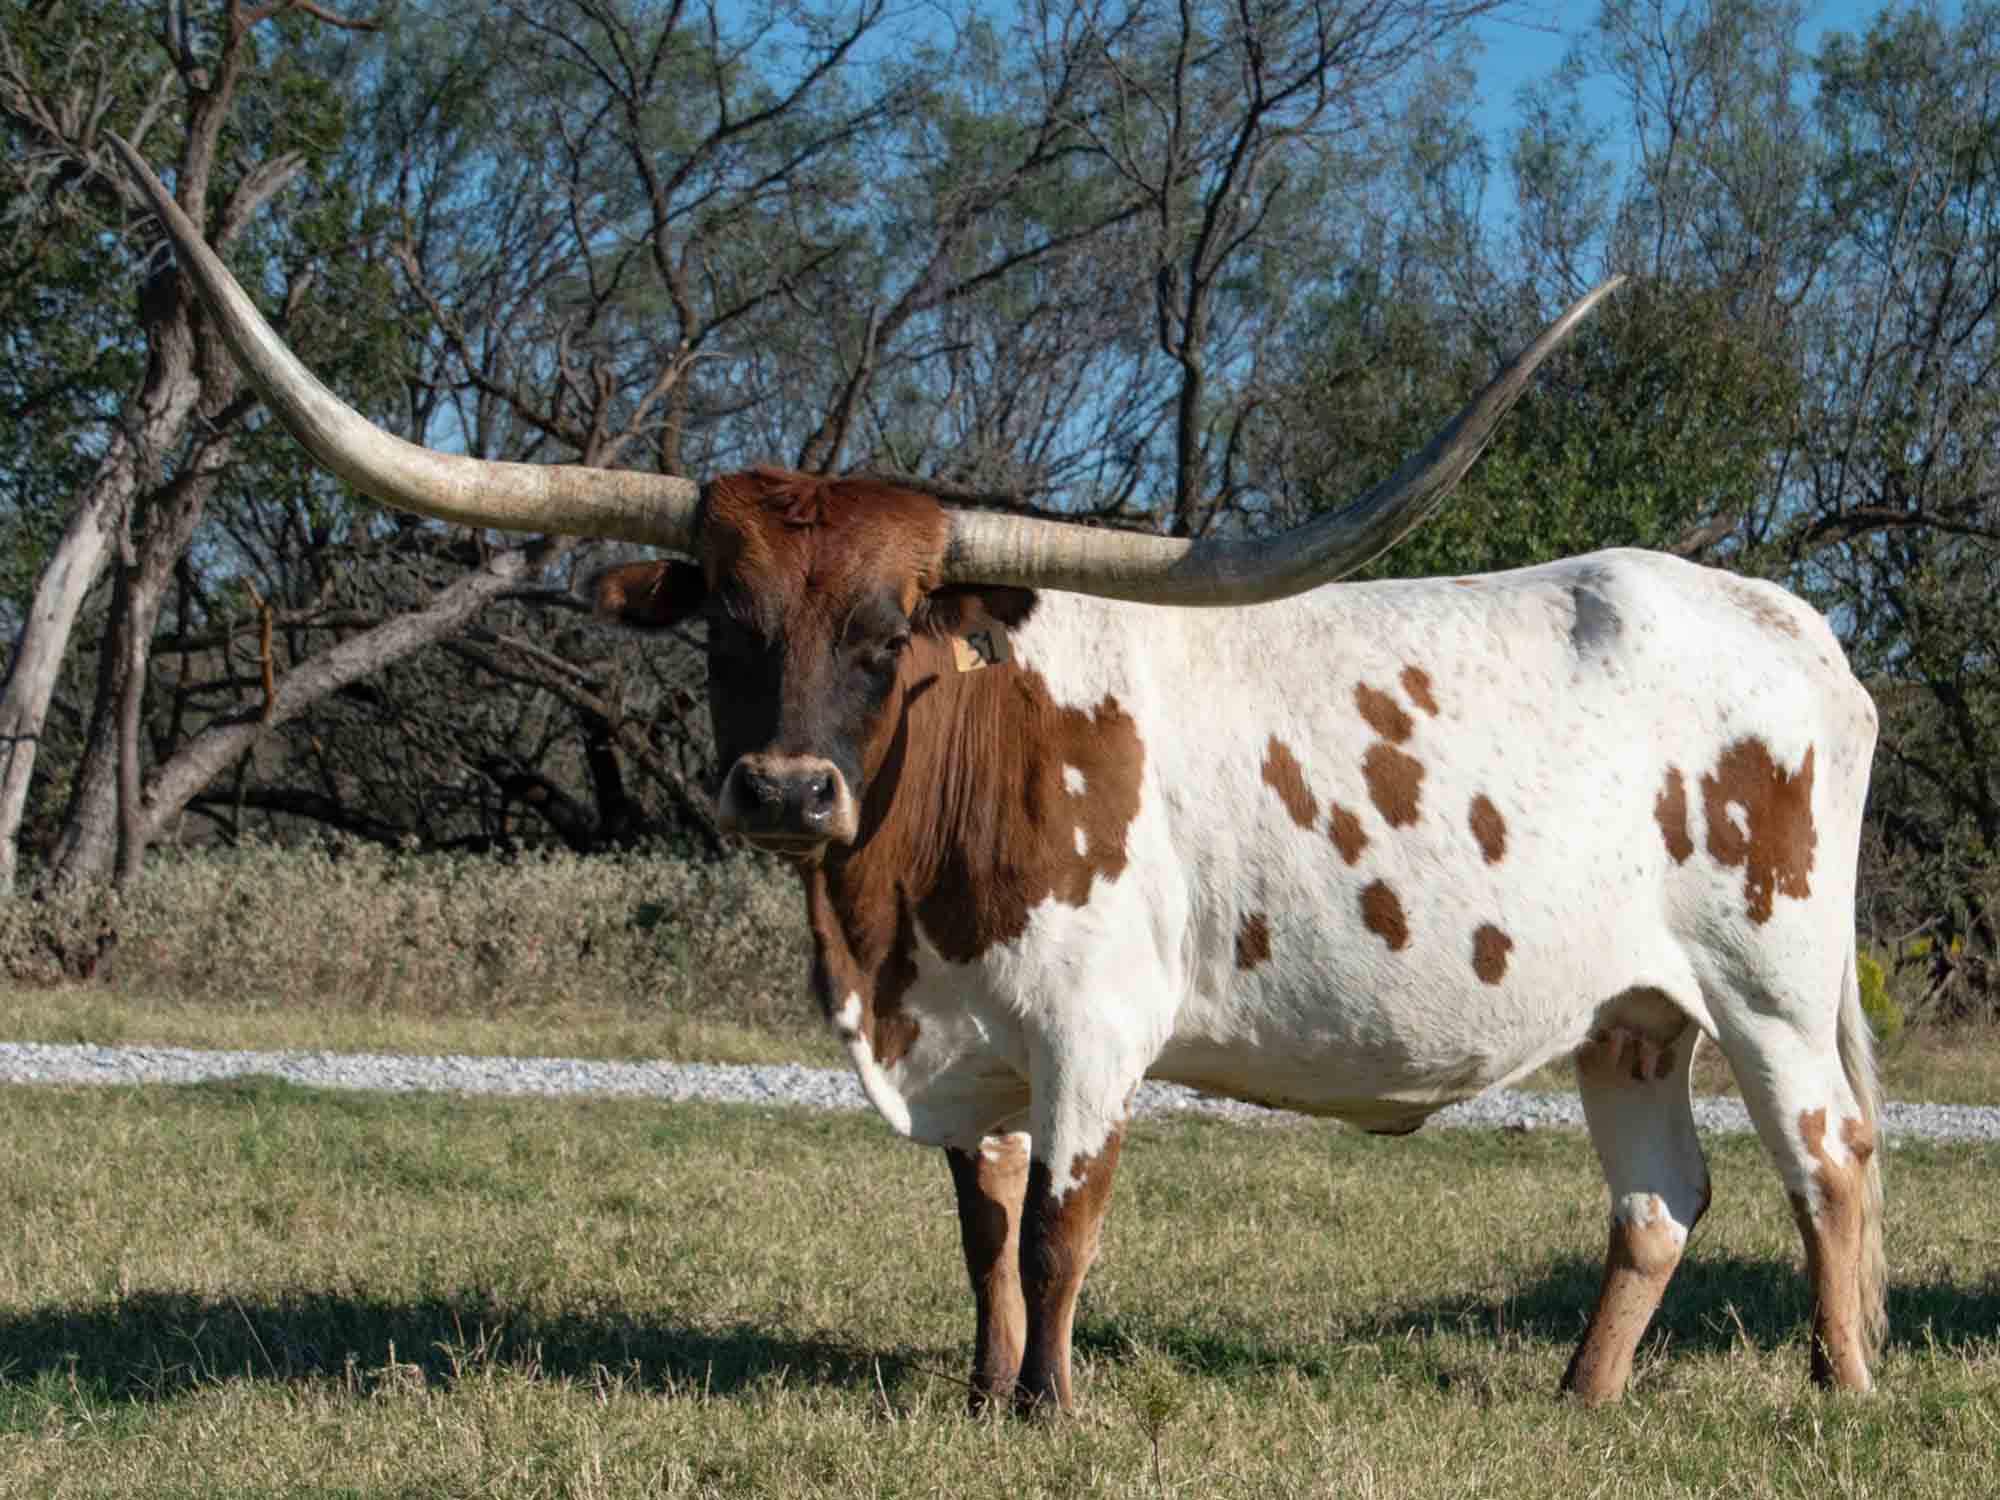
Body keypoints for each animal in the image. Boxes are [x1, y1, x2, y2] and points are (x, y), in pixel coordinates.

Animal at [115, 136, 1884, 1414]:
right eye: (728, 617)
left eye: (895, 626)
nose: (784, 793)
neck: (890, 930)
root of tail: (1786, 619)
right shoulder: (976, 1050)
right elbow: (983, 1231)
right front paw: (981, 1391)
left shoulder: (1095, 1029)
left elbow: (1060, 1230)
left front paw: (1051, 1410)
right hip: (1630, 1015)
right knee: (1662, 1203)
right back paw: (1581, 1399)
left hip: (1773, 984)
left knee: (1830, 1160)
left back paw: (1841, 1388)